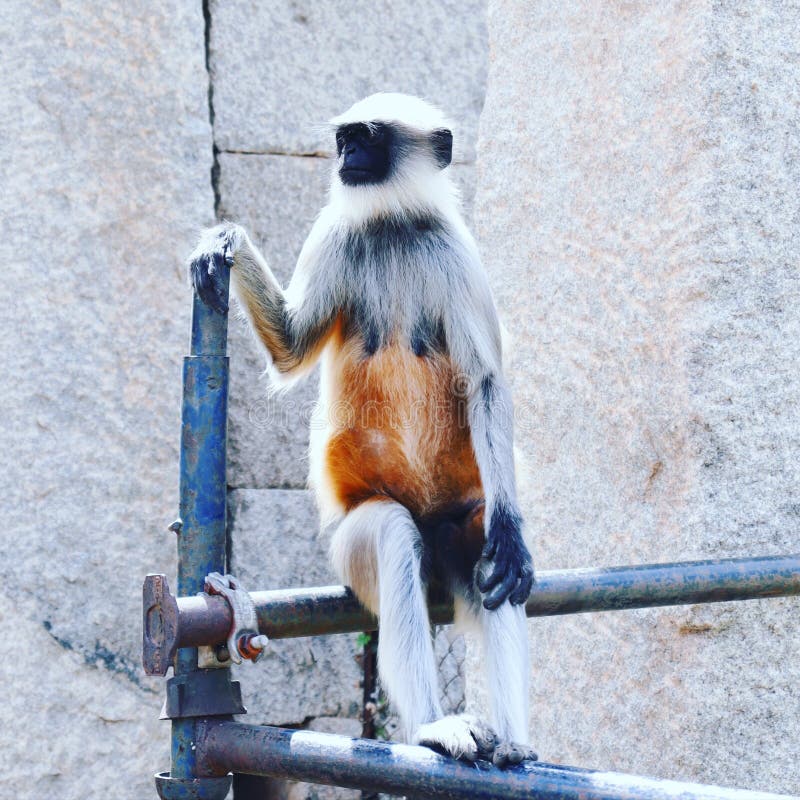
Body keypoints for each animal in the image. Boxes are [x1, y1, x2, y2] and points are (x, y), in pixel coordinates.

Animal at [189, 93, 535, 768]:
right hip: (355, 545)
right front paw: (223, 240)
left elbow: (486, 382)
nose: (347, 157)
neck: (393, 225)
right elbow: (291, 348)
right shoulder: (338, 234)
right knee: (396, 536)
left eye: (368, 139)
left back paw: (510, 742)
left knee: (489, 551)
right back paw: (435, 726)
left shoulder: (453, 251)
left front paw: (511, 532)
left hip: (458, 514)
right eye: (345, 138)